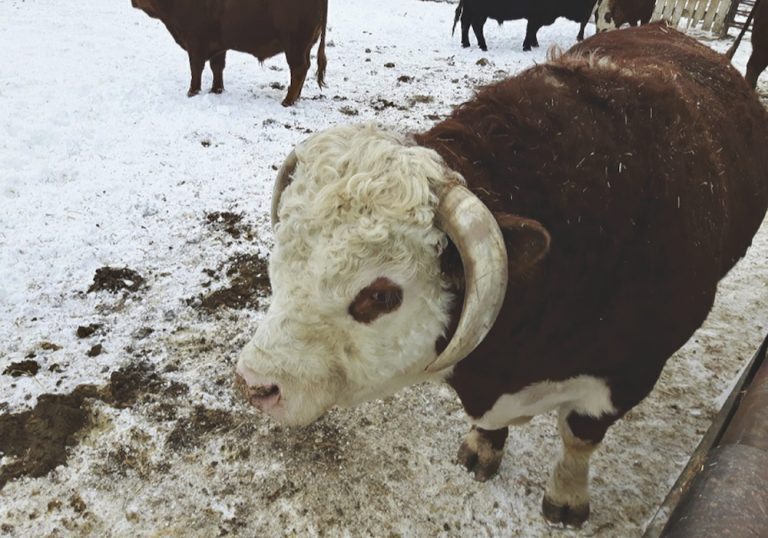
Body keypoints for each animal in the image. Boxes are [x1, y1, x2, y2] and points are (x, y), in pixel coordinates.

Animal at [130, 0, 327, 106]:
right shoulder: (218, 46)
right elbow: (217, 67)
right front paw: (216, 90)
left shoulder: (196, 42)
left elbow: (196, 69)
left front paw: (192, 92)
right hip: (303, 47)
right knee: (303, 69)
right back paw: (295, 98)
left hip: (294, 46)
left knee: (298, 69)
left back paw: (287, 101)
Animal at [235, 25, 768, 526]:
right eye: (283, 250)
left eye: (381, 295)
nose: (256, 384)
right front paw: (482, 449)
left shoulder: (630, 373)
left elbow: (580, 438)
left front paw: (567, 497)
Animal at [452, 0, 599, 51]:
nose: (587, 16)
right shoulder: (535, 17)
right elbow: (531, 30)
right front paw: (527, 47)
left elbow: (532, 31)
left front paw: (534, 44)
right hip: (480, 13)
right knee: (476, 26)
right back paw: (483, 46)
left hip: (472, 11)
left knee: (466, 24)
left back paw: (466, 44)